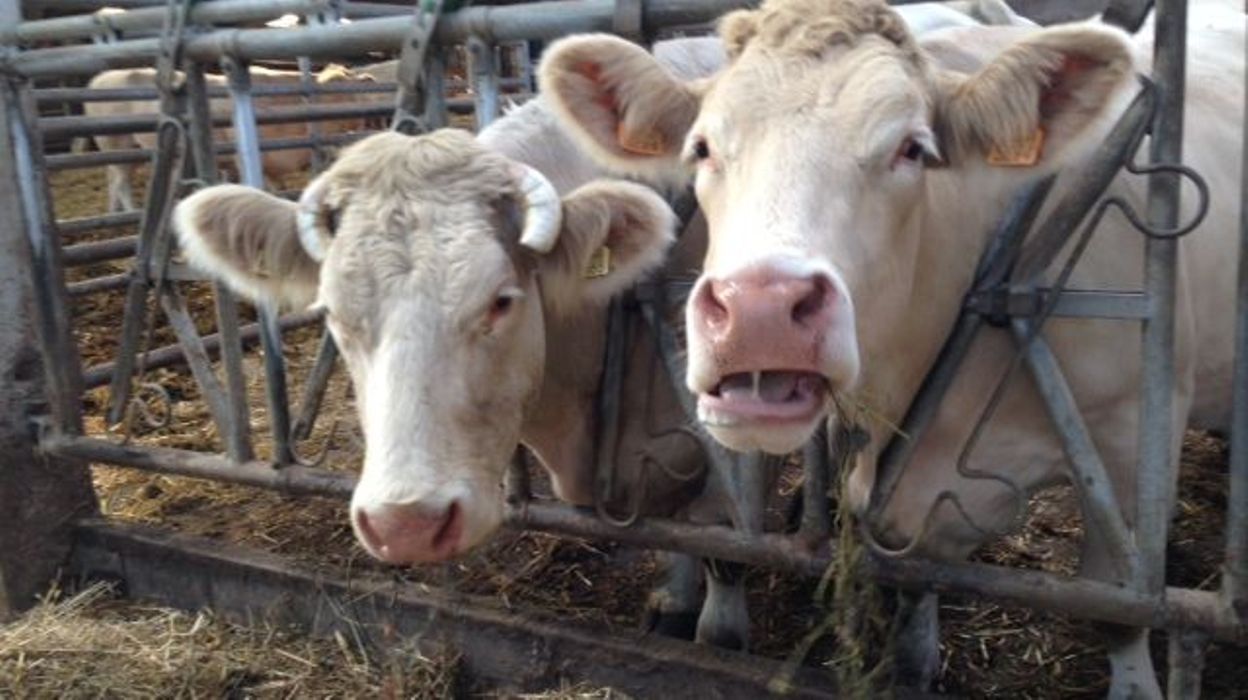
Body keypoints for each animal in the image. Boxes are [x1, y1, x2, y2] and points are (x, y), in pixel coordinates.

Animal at [537, 0, 1242, 695]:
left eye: (912, 148)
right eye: (702, 148)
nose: (760, 312)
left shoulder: (1133, 439)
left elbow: (1117, 608)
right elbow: (909, 577)